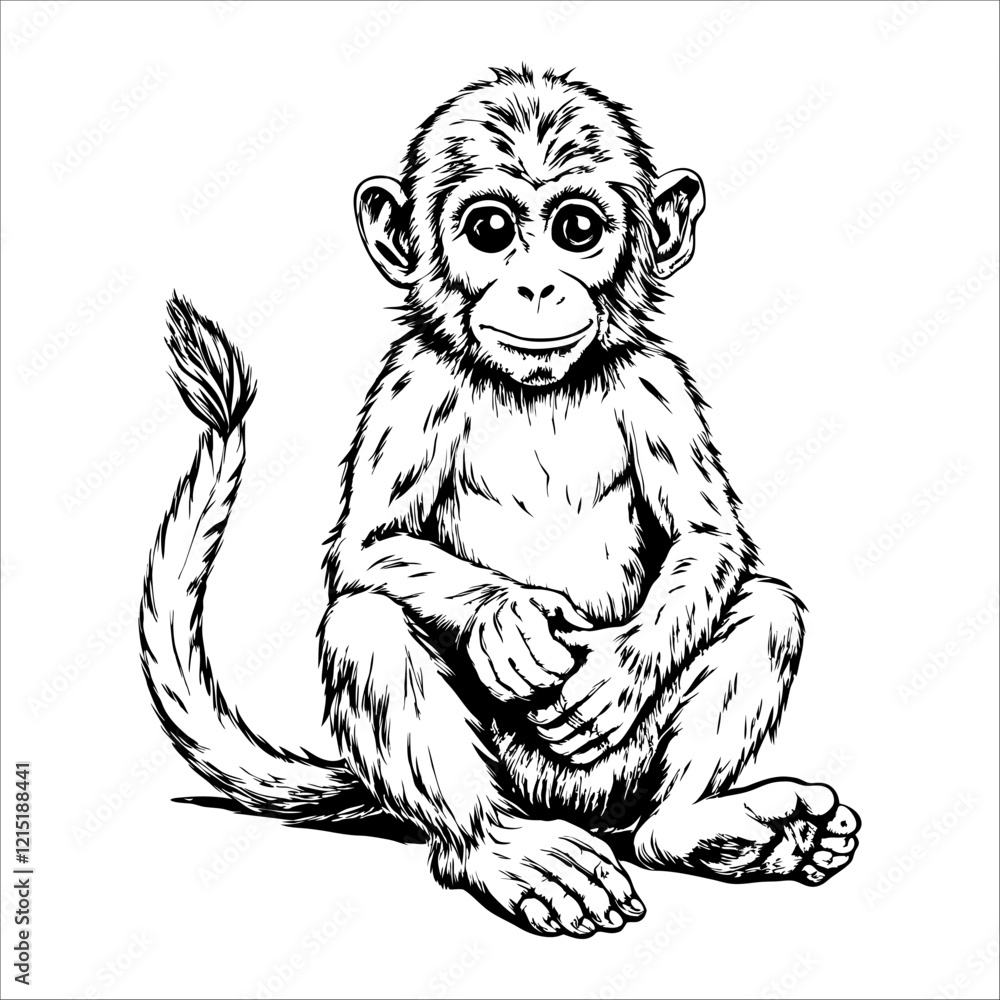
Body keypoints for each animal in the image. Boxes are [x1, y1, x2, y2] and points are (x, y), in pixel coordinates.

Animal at [141, 66, 860, 939]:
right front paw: (509, 618)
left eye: (577, 229)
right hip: (509, 777)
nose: (538, 285)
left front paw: (619, 670)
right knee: (367, 625)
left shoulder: (658, 382)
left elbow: (708, 538)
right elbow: (370, 547)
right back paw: (499, 846)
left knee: (766, 610)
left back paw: (702, 828)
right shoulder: (412, 382)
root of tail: (584, 811)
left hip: (627, 773)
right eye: (489, 230)